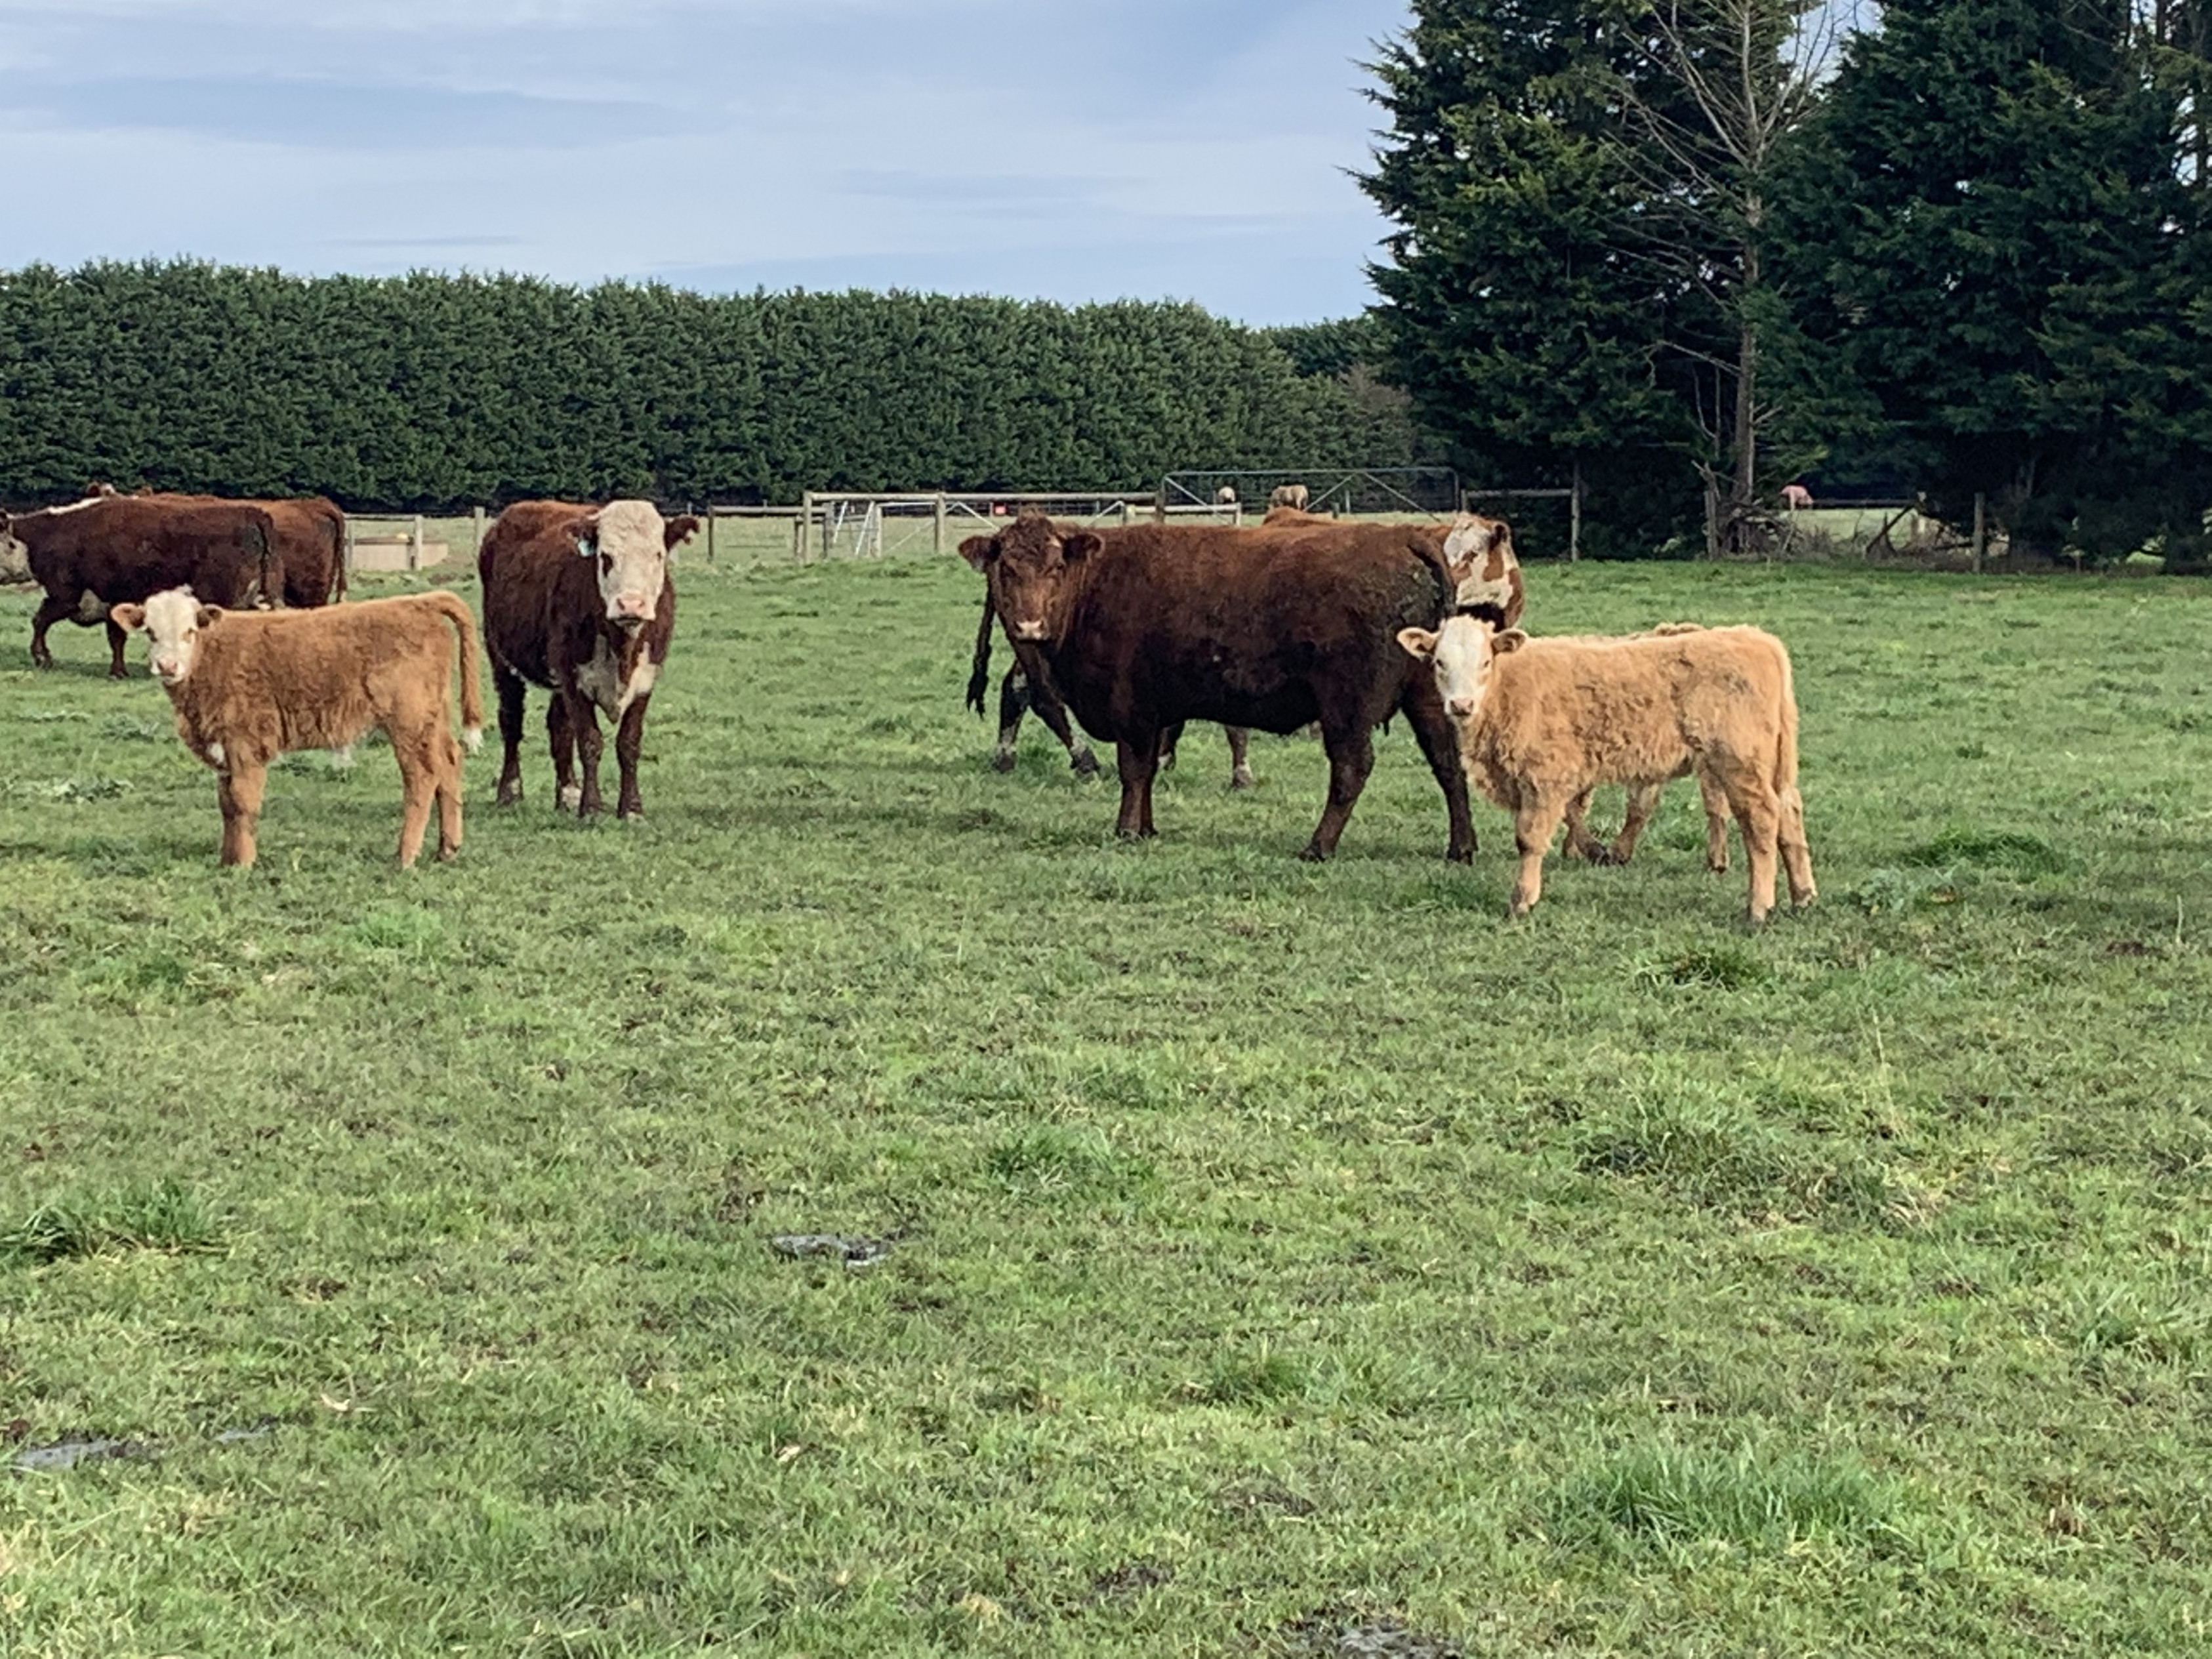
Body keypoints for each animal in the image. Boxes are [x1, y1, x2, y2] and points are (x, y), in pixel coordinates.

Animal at [110, 588, 484, 868]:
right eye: (150, 632)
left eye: (189, 631)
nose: (167, 665)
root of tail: (417, 602)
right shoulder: (223, 750)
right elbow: (226, 805)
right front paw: (226, 860)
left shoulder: (245, 744)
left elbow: (243, 802)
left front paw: (244, 863)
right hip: (432, 718)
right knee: (450, 761)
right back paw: (447, 848)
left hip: (409, 721)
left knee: (422, 776)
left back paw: (405, 856)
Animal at [479, 498, 697, 820]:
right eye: (606, 557)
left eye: (658, 555)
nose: (631, 604)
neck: (622, 648)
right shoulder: (574, 678)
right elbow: (590, 741)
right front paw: (592, 808)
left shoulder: (646, 678)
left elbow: (629, 743)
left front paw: (631, 809)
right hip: (502, 660)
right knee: (511, 722)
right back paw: (510, 792)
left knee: (559, 727)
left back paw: (568, 793)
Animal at [960, 513, 1473, 860]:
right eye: (1006, 569)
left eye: (1054, 568)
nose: (1028, 626)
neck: (1095, 584)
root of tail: (1403, 538)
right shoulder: (1156, 710)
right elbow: (1149, 770)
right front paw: (1147, 827)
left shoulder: (1131, 706)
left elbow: (1133, 770)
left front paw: (1126, 830)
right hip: (1427, 697)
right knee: (1449, 764)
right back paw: (1461, 848)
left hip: (1345, 706)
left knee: (1352, 769)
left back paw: (1317, 846)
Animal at [1396, 616, 1815, 921]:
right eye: (1439, 662)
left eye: (1485, 662)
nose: (1461, 704)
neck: (1506, 690)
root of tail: (1756, 638)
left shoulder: (1545, 777)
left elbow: (1530, 840)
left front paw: (1522, 900)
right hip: (1773, 767)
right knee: (1790, 814)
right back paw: (1803, 896)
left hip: (1739, 762)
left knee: (1762, 820)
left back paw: (1759, 907)